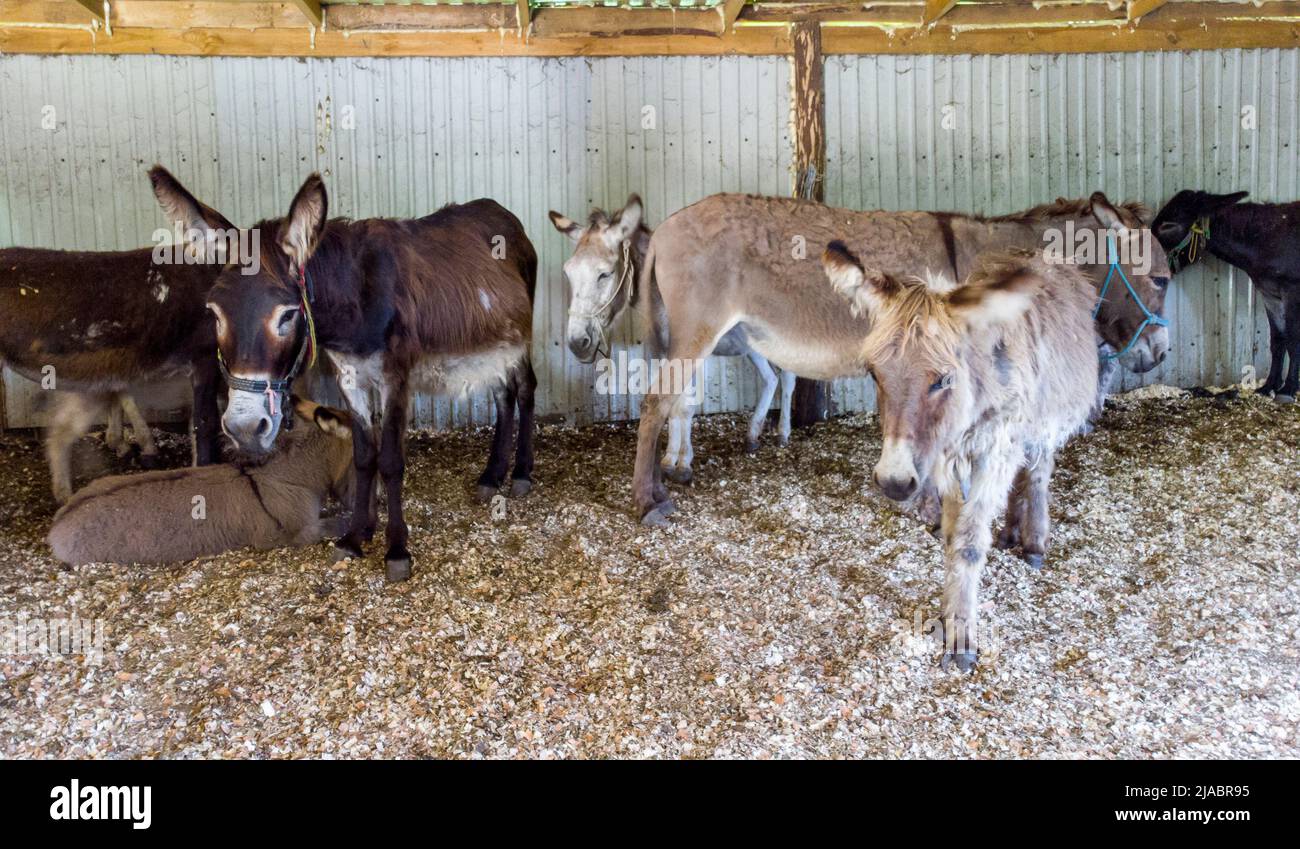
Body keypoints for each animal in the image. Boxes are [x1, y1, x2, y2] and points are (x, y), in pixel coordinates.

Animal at [148, 168, 538, 582]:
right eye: (215, 313)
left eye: (287, 315)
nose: (245, 428)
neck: (357, 299)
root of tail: (499, 210)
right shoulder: (350, 378)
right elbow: (364, 455)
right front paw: (356, 535)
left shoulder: (394, 378)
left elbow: (390, 460)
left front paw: (396, 550)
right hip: (493, 349)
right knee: (503, 395)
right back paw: (491, 476)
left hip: (520, 340)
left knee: (525, 389)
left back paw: (521, 474)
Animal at [549, 195, 796, 484]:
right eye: (568, 273)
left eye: (605, 274)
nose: (577, 342)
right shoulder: (664, 351)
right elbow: (669, 403)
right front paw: (668, 461)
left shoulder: (697, 352)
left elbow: (685, 406)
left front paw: (683, 465)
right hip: (753, 346)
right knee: (771, 379)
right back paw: (752, 436)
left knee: (788, 379)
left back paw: (783, 433)